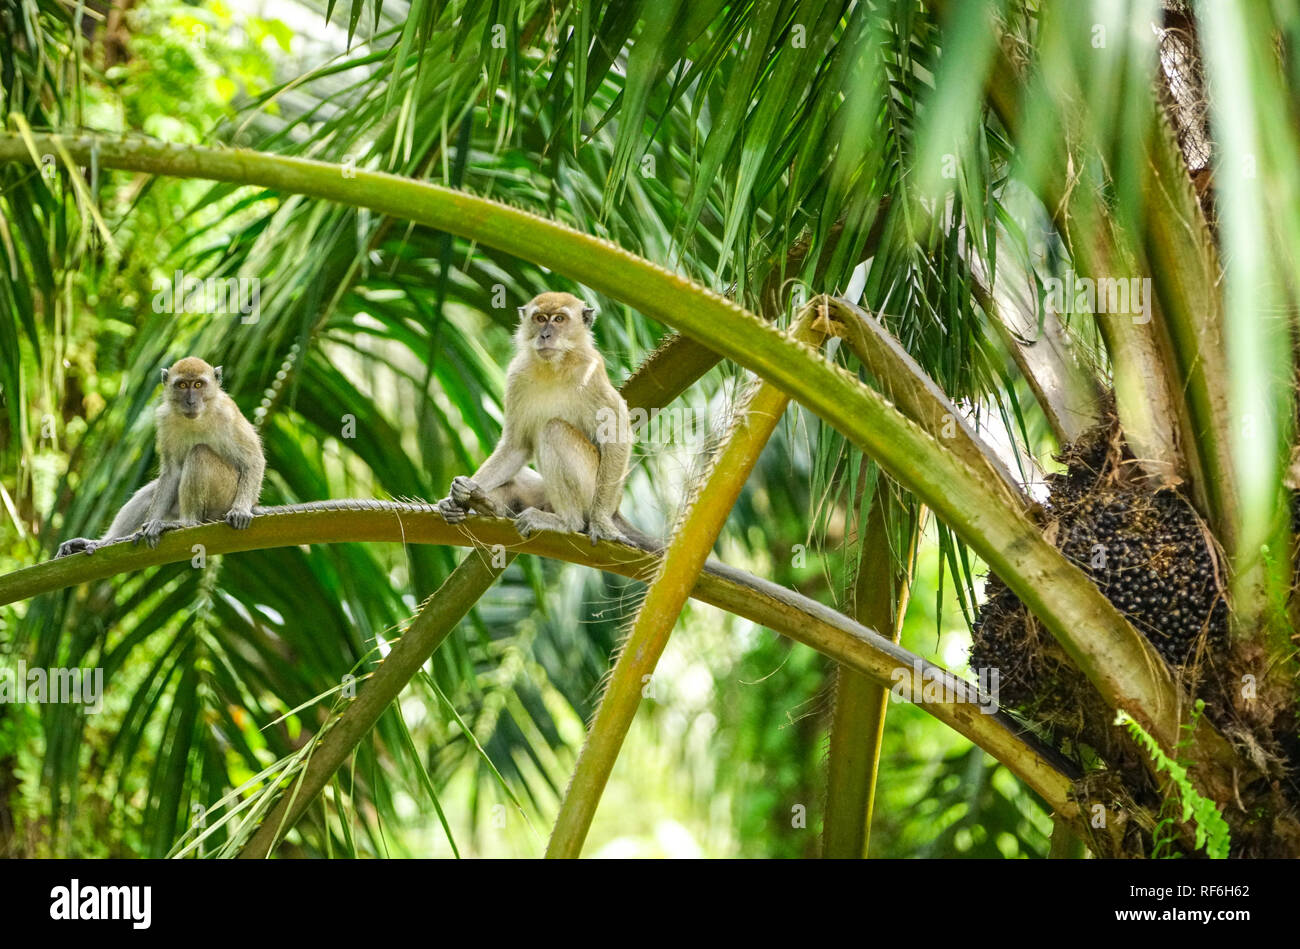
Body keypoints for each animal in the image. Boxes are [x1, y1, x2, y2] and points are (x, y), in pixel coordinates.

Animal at [55, 357, 266, 557]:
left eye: (198, 385)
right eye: (182, 385)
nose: (190, 402)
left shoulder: (227, 413)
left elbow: (253, 460)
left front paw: (240, 511)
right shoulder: (165, 419)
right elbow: (171, 472)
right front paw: (141, 532)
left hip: (224, 499)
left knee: (199, 453)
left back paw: (188, 523)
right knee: (153, 490)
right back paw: (105, 541)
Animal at [436, 291, 653, 548]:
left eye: (559, 319)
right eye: (540, 318)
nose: (545, 334)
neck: (555, 368)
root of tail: (617, 509)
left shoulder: (592, 372)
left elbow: (617, 436)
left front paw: (601, 524)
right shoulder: (517, 375)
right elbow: (516, 447)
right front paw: (456, 497)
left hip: (592, 490)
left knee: (554, 430)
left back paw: (568, 522)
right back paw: (484, 503)